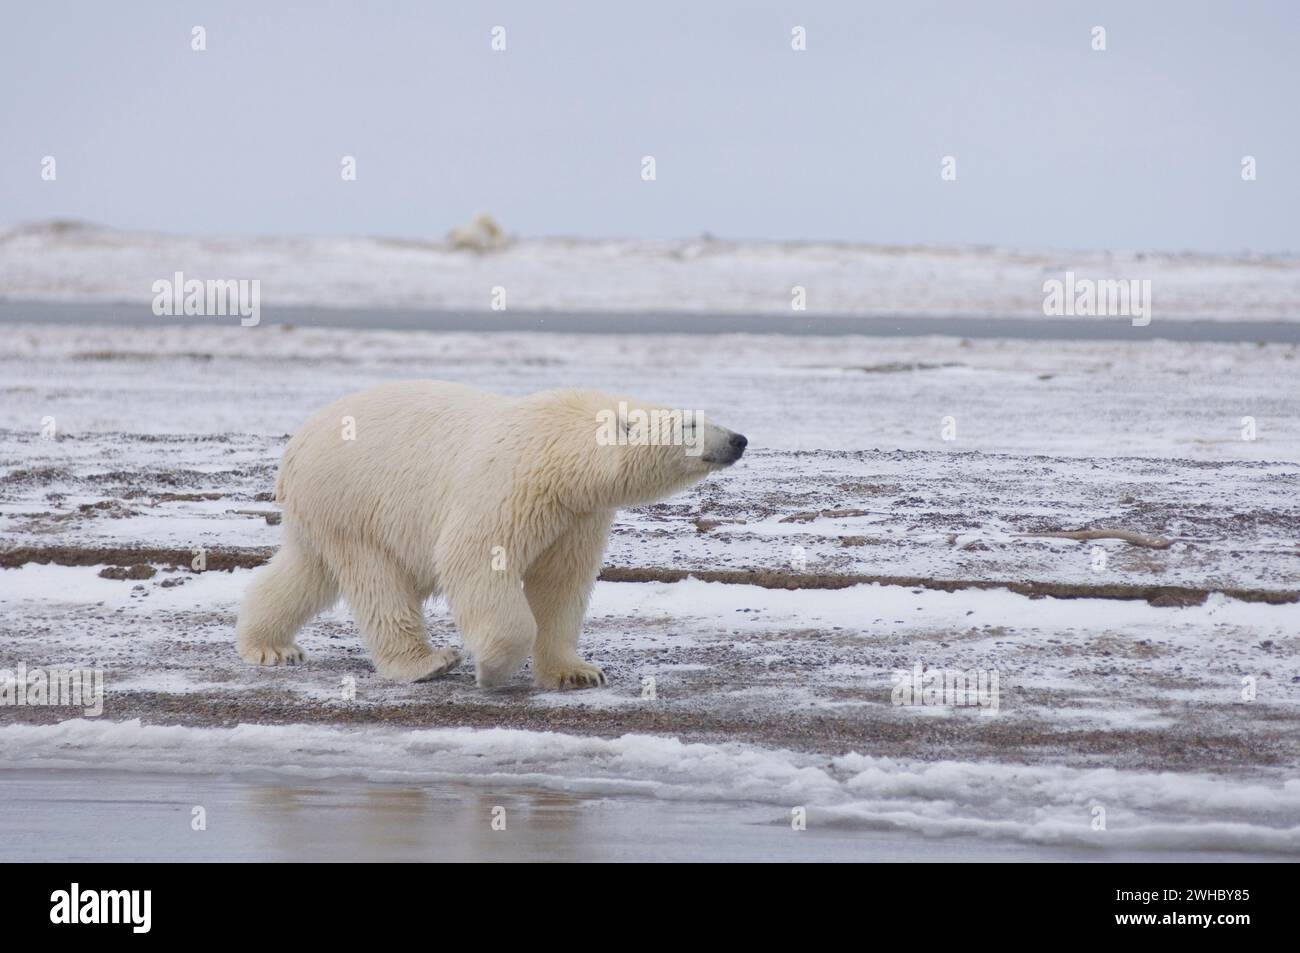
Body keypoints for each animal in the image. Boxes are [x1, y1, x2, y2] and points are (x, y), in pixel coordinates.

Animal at [236, 380, 747, 688]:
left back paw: (271, 646)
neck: (562, 455)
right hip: (354, 500)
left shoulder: (577, 515)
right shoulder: (511, 486)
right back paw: (426, 663)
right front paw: (493, 667)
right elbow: (476, 560)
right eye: (692, 423)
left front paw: (576, 673)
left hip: (326, 512)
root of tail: (296, 447)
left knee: (304, 572)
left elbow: (561, 585)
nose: (738, 439)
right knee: (376, 580)